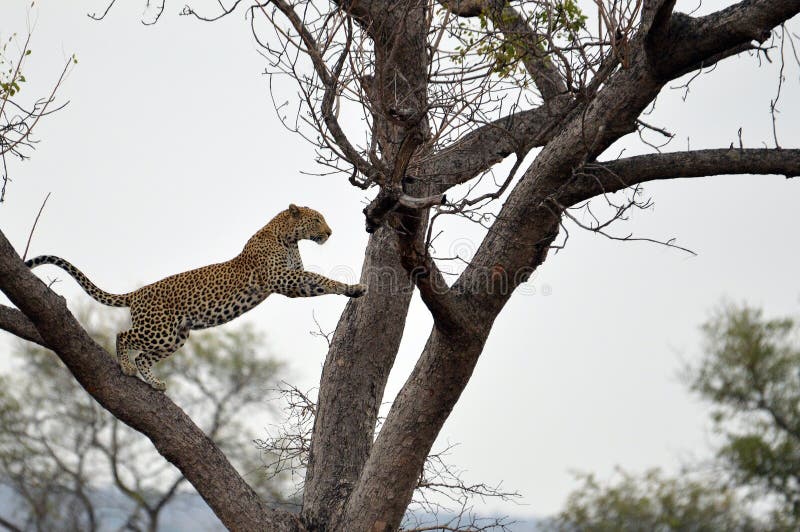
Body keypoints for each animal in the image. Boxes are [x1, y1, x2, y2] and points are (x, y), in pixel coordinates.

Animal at [25, 204, 366, 391]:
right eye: (317, 219)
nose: (330, 232)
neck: (288, 237)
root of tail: (138, 293)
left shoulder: (294, 282)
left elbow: (318, 282)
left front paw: (352, 289)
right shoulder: (282, 279)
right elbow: (322, 278)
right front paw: (355, 286)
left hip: (176, 336)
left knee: (145, 356)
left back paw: (156, 384)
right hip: (159, 329)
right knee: (124, 335)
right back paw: (125, 367)